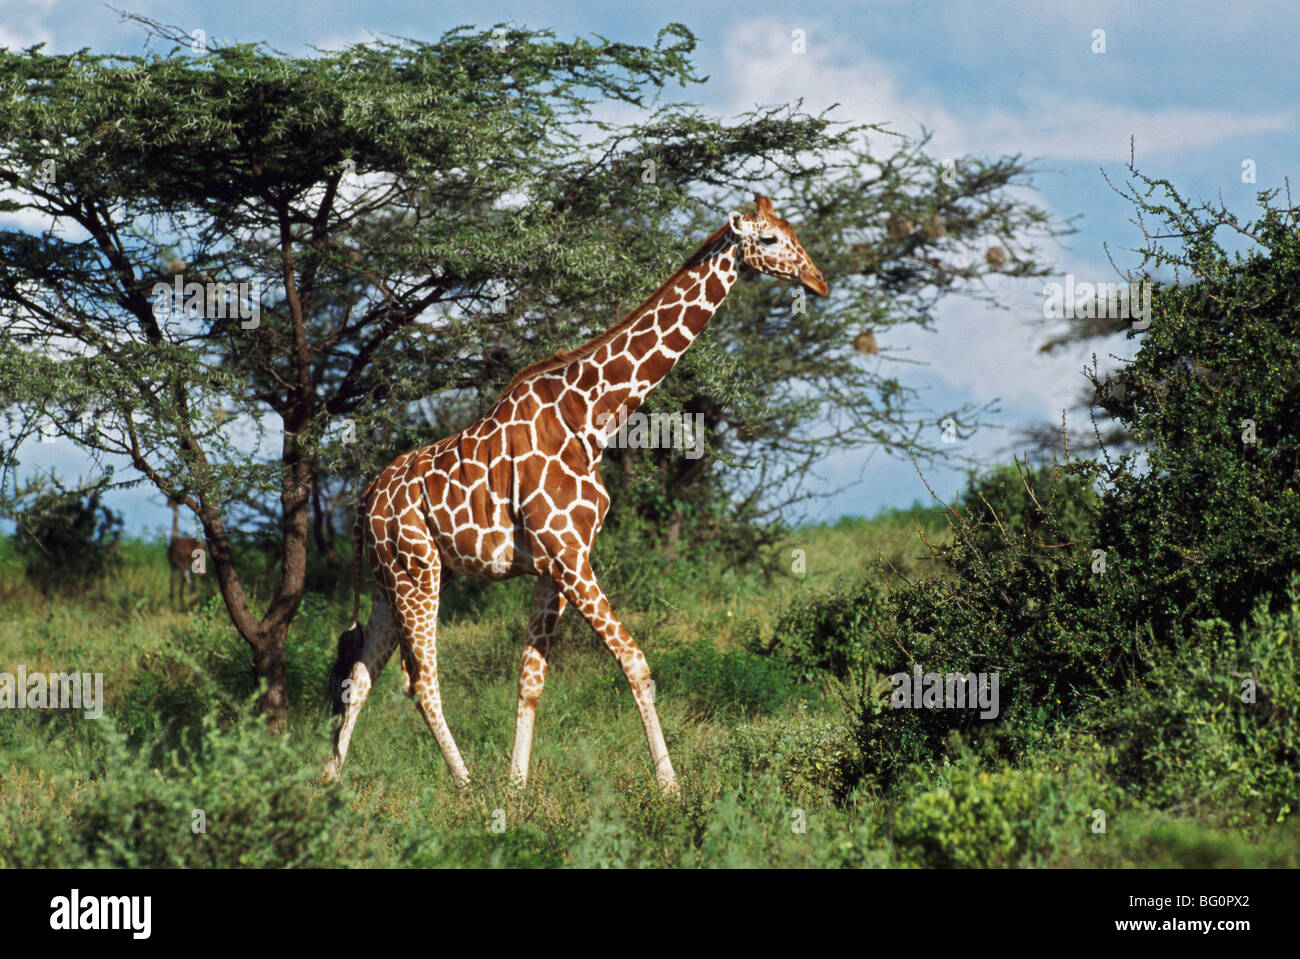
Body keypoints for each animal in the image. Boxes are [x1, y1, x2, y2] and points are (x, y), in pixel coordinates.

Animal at [325, 194, 828, 794]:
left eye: (793, 230)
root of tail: (364, 500)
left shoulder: (555, 565)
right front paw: (670, 786)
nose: (819, 281)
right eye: (770, 240)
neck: (590, 417)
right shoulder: (568, 556)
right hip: (417, 573)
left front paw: (517, 787)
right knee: (420, 682)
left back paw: (328, 783)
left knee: (359, 679)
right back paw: (466, 787)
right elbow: (635, 663)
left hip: (389, 583)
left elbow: (530, 679)